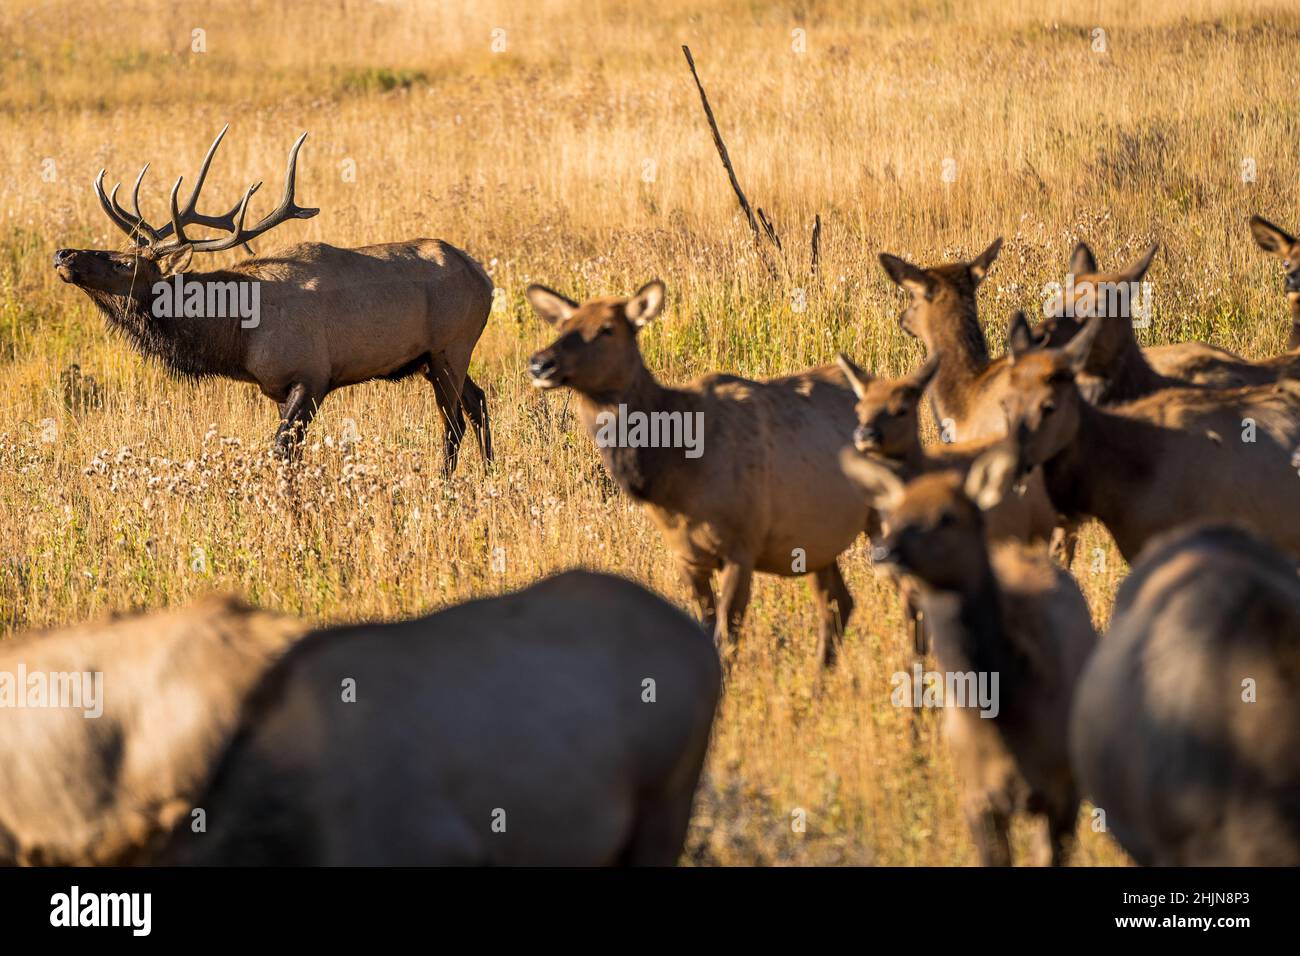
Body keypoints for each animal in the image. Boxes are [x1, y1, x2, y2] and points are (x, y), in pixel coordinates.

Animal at [53, 127, 492, 470]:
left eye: (126, 263)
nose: (63, 254)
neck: (238, 335)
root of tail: (485, 278)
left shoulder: (312, 375)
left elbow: (281, 449)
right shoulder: (277, 389)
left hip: (451, 347)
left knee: (453, 422)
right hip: (433, 360)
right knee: (479, 401)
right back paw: (488, 474)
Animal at [525, 281, 869, 670]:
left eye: (607, 329)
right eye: (563, 326)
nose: (540, 363)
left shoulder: (742, 547)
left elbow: (726, 638)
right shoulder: (687, 557)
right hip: (817, 538)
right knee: (838, 604)